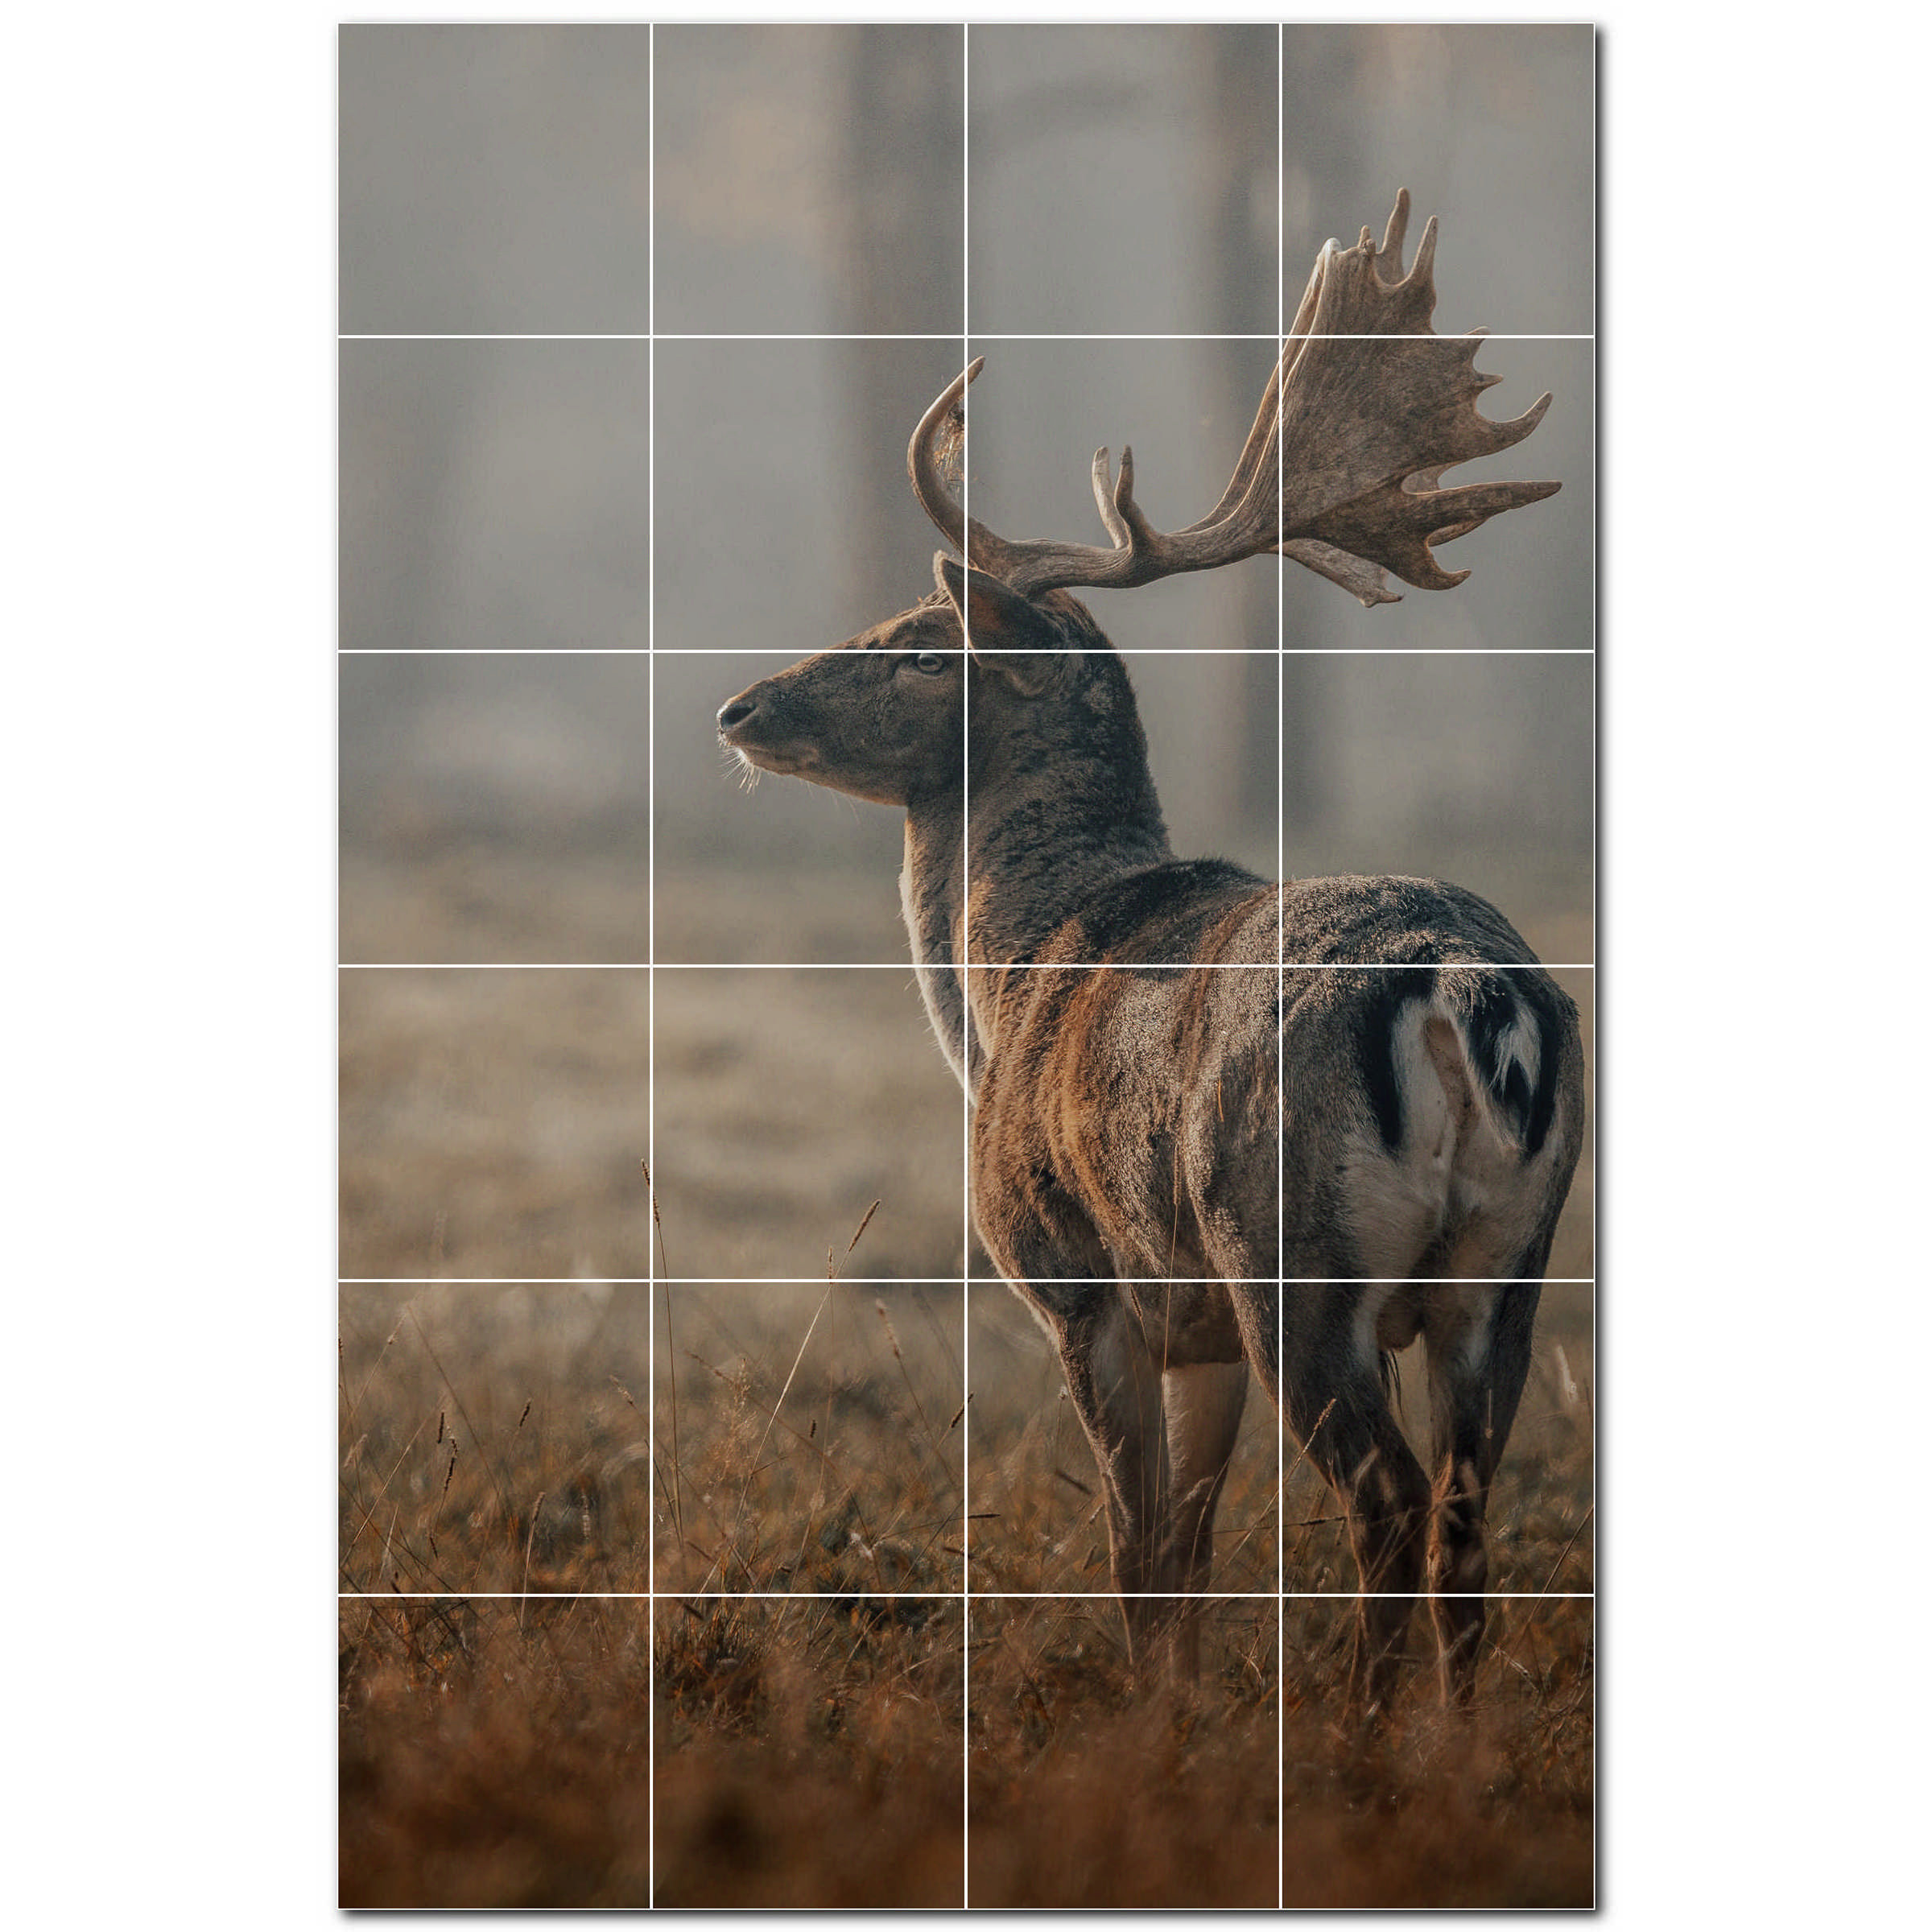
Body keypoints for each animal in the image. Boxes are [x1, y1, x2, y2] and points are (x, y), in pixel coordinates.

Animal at [715, 193, 1584, 1713]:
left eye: (924, 647)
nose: (743, 706)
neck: (1010, 981)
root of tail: (1471, 994)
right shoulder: (1199, 1333)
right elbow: (1185, 1546)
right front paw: (1174, 1710)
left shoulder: (1078, 1278)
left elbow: (1133, 1549)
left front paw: (1144, 1725)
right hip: (1507, 1268)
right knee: (1470, 1517)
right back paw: (1450, 1744)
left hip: (1292, 1249)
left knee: (1388, 1499)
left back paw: (1360, 1741)